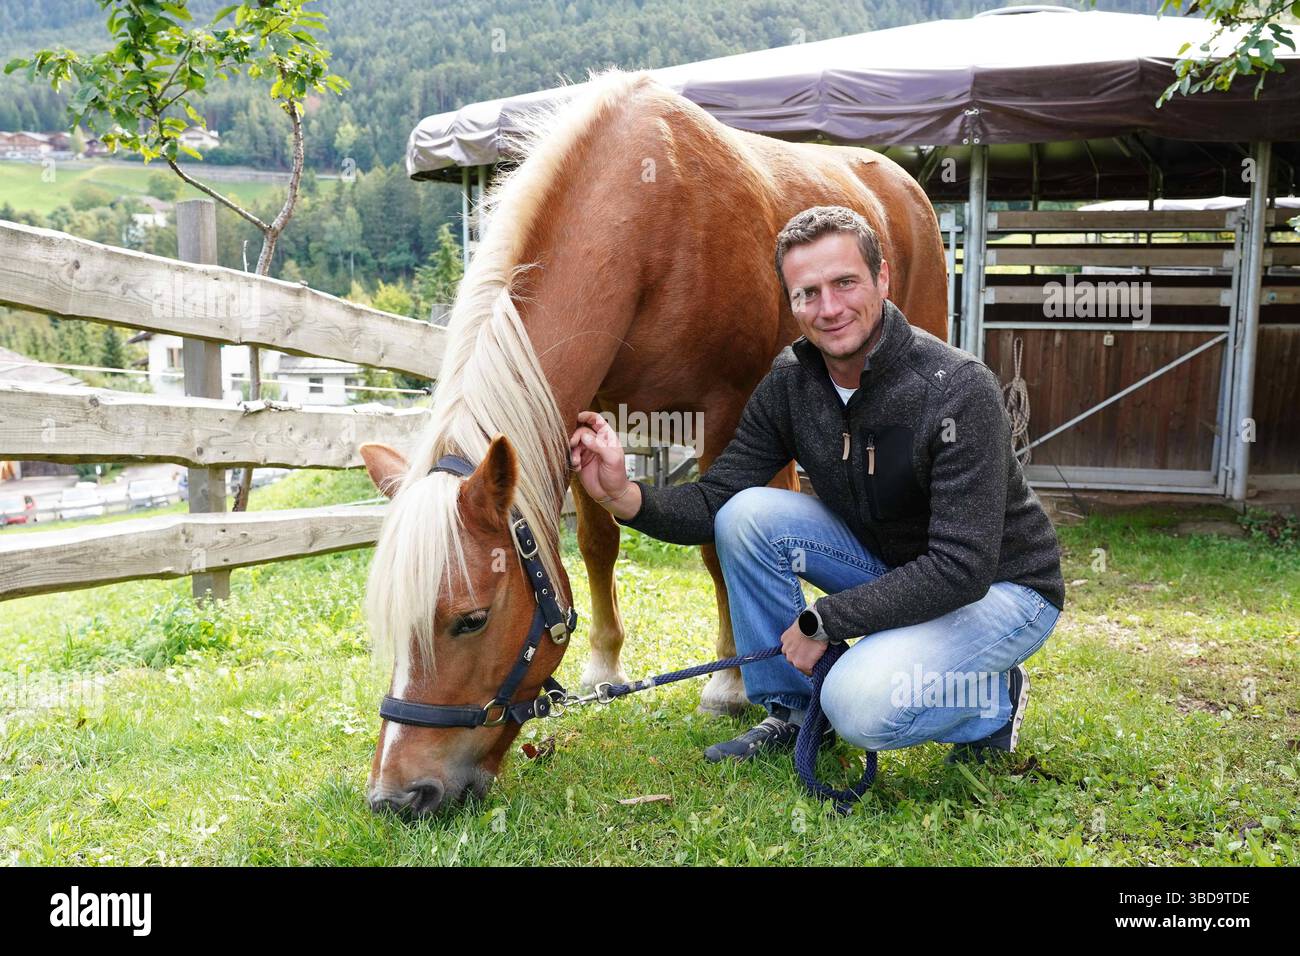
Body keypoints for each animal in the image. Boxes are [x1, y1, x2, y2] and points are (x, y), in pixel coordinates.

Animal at [359, 69, 948, 814]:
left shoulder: (726, 411)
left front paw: (728, 686)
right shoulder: (583, 412)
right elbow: (596, 541)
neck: (653, 220)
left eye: (470, 619)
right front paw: (603, 663)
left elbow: (716, 545)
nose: (397, 796)